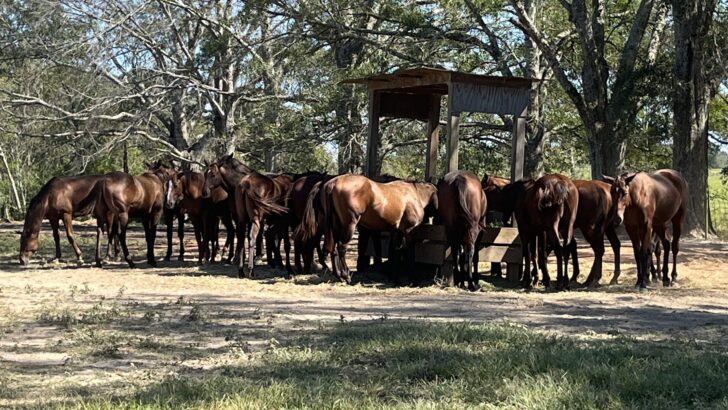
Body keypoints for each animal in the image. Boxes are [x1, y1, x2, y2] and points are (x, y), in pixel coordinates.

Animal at [303, 174, 438, 284]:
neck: (414, 194)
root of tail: (333, 182)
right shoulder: (409, 231)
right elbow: (410, 253)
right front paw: (413, 279)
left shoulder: (397, 232)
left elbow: (396, 252)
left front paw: (395, 279)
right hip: (349, 225)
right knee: (341, 248)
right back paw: (346, 276)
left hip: (335, 227)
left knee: (333, 249)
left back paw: (339, 275)